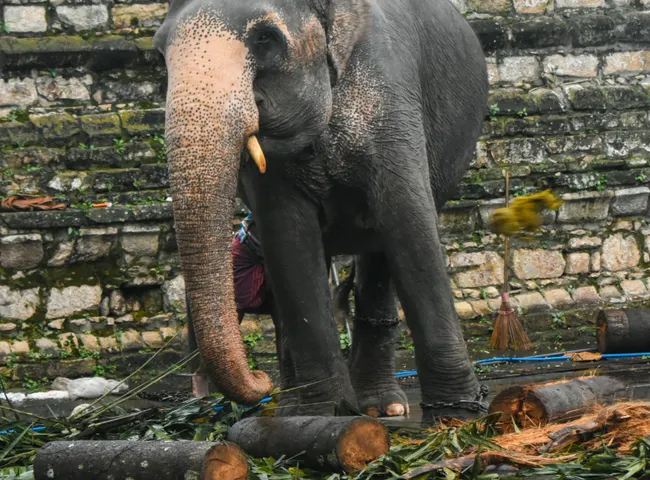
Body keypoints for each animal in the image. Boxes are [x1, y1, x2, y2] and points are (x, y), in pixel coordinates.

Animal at [154, 0, 489, 418]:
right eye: (159, 53)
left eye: (265, 38)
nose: (260, 380)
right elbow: (289, 237)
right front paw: (326, 413)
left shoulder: (390, 94)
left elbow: (408, 219)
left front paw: (459, 413)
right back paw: (296, 409)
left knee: (379, 258)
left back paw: (383, 408)